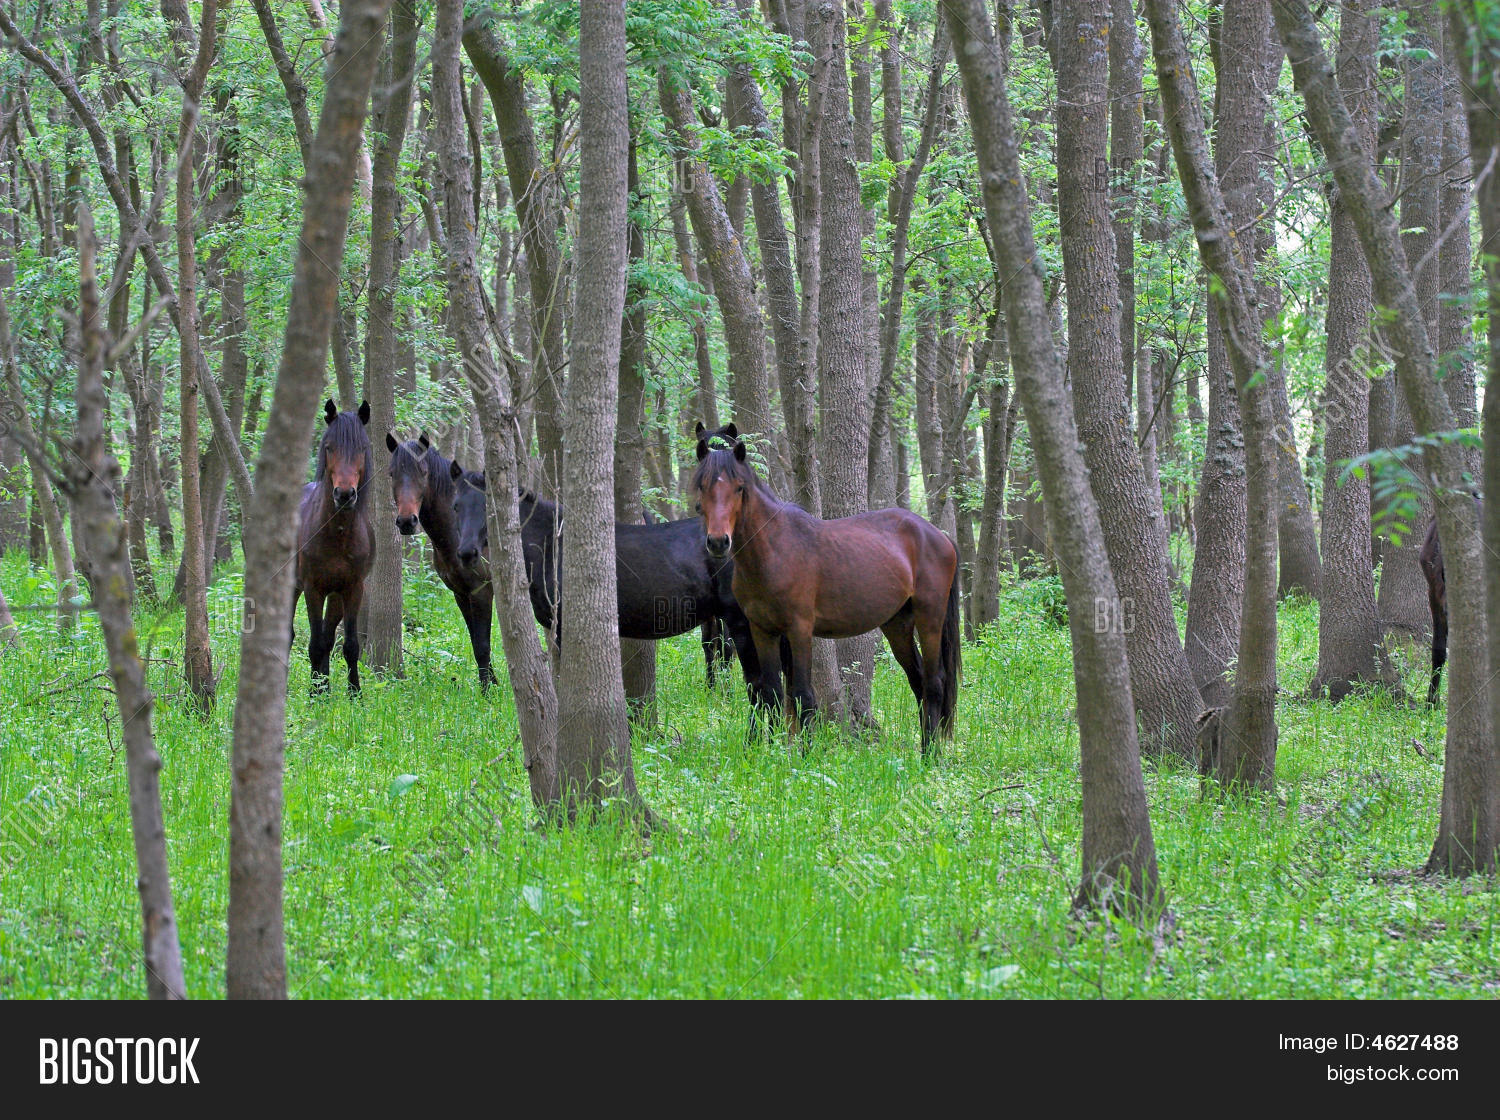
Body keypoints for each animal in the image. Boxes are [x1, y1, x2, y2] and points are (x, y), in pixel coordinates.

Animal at [292, 399, 376, 696]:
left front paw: (355, 694)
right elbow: (315, 644)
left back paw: (326, 687)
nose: (344, 494)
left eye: (362, 448)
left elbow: (349, 645)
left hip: (336, 595)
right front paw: (314, 695)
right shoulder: (312, 588)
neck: (337, 534)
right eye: (329, 447)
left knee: (329, 636)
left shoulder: (353, 589)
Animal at [386, 432, 495, 687]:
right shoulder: (461, 594)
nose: (407, 521)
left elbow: (483, 646)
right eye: (392, 473)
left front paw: (488, 691)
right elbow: (476, 642)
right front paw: (493, 685)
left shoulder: (481, 591)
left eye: (423, 471)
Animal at [691, 435, 961, 756]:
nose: (718, 541)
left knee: (933, 683)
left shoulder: (799, 630)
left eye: (739, 488)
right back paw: (924, 750)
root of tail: (939, 536)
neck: (775, 551)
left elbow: (803, 695)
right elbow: (772, 692)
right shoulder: (762, 630)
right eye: (703, 487)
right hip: (897, 624)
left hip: (930, 618)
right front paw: (773, 752)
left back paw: (931, 756)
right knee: (918, 681)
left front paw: (806, 756)